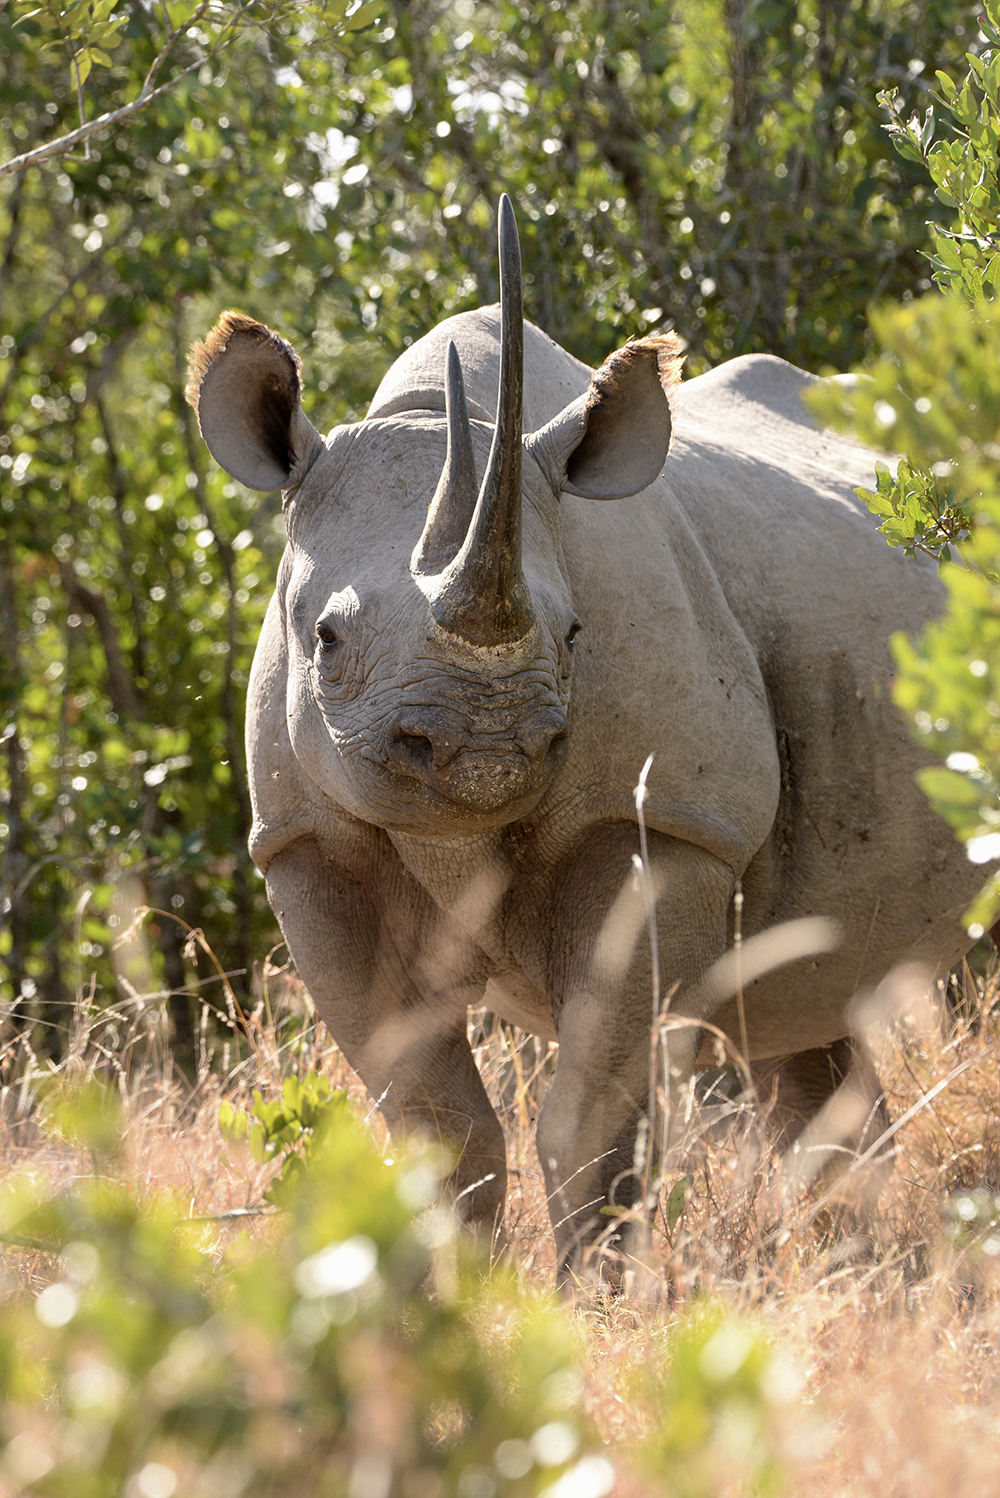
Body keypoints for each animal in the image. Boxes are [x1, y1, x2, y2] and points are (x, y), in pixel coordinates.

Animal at [188, 197, 980, 1277]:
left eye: (573, 635)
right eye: (325, 638)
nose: (484, 749)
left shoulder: (666, 822)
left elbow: (592, 1116)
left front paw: (591, 1294)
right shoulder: (305, 843)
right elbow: (438, 1123)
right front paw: (453, 1291)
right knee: (801, 1016)